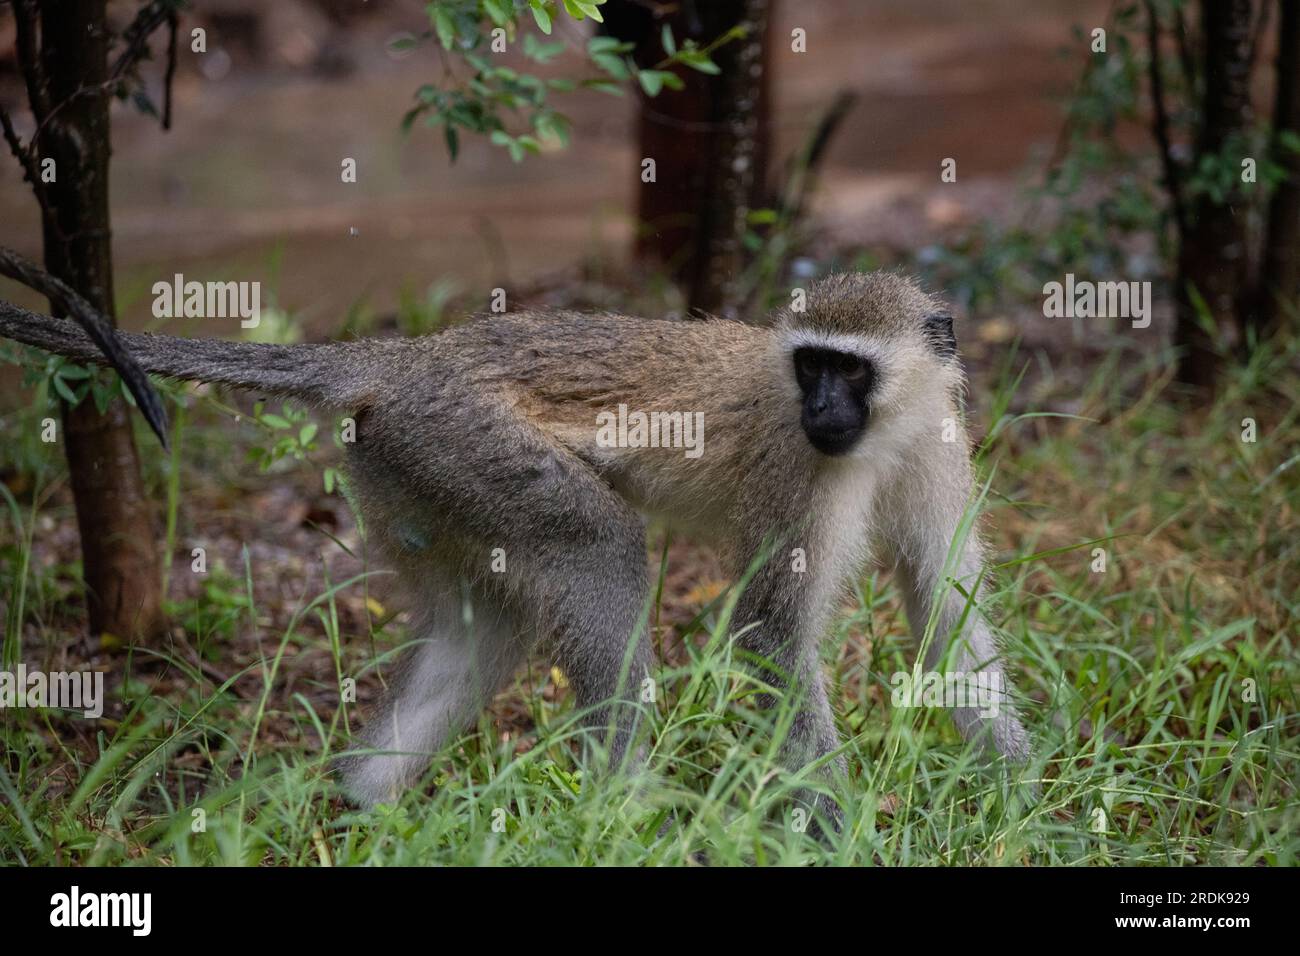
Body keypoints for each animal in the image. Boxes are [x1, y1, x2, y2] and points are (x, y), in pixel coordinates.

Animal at [0, 271, 1032, 829]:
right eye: (811, 365)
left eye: (847, 370)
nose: (820, 409)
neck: (883, 433)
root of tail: (407, 359)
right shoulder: (797, 474)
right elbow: (772, 636)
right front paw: (834, 829)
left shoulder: (938, 443)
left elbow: (947, 615)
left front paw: (1022, 795)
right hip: (467, 444)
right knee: (601, 551)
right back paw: (625, 813)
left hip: (410, 471)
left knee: (481, 630)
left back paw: (360, 809)